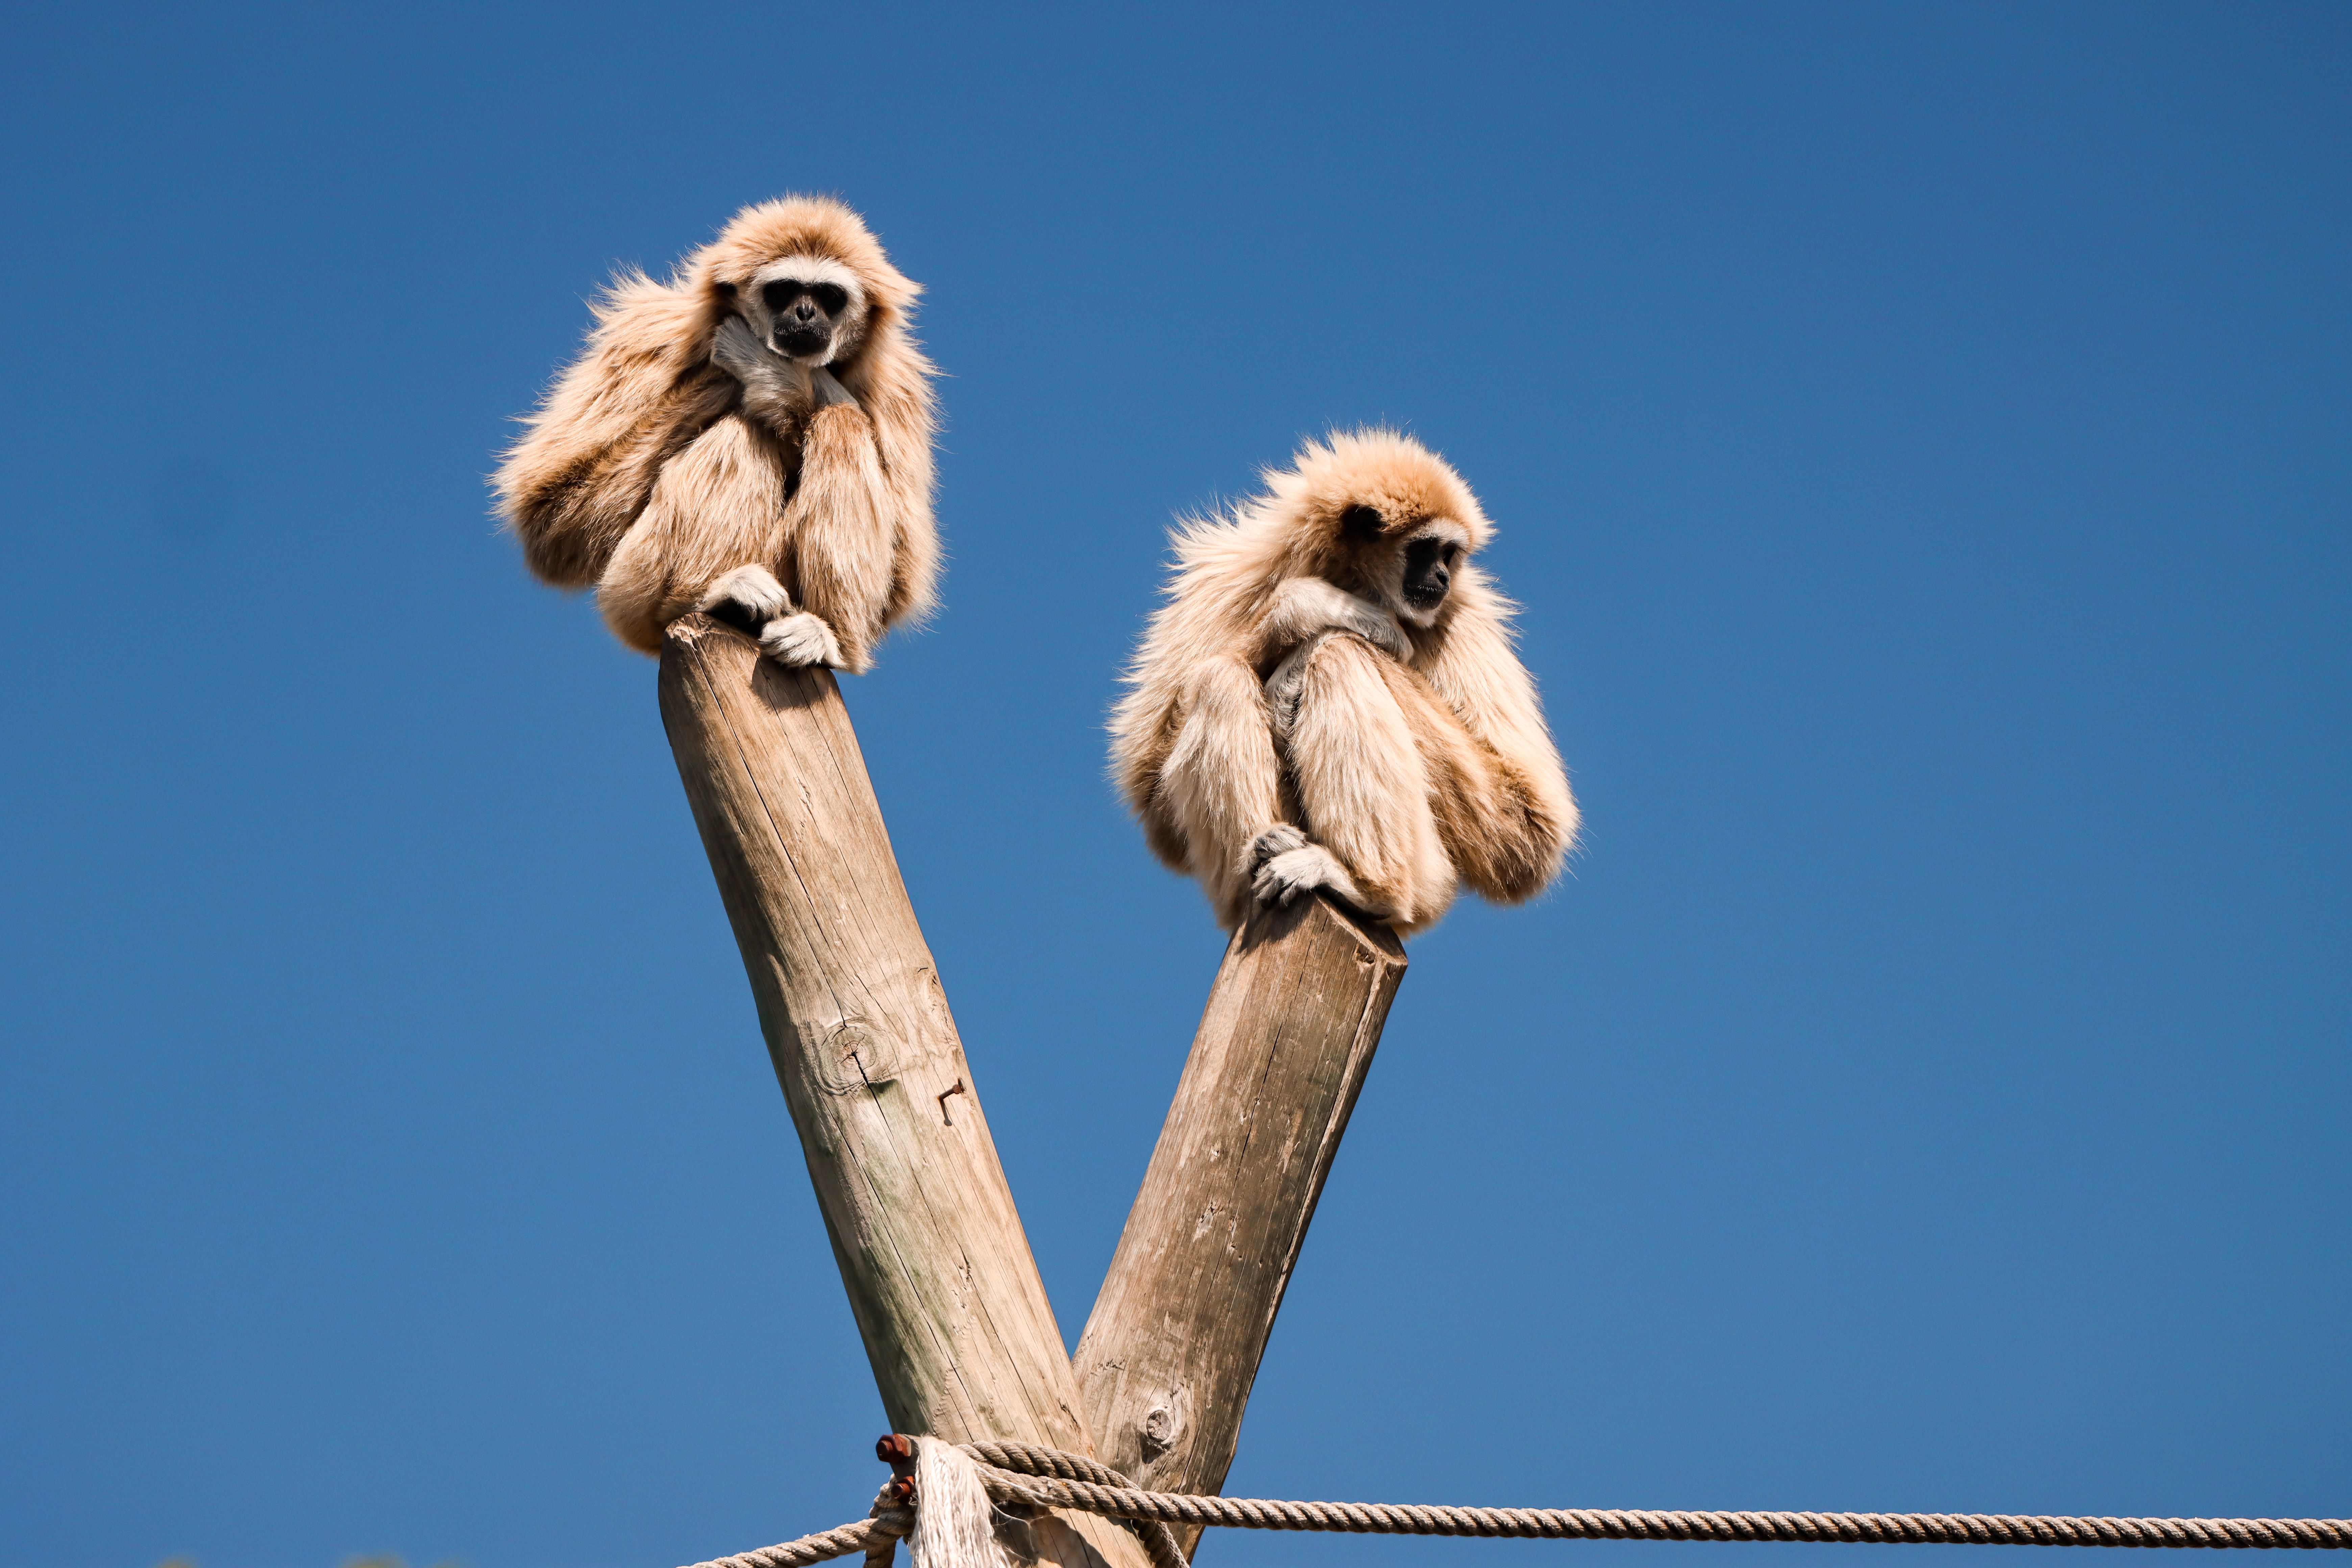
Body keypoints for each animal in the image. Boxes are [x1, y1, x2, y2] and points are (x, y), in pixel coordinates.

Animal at [493, 195, 937, 671]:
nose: (805, 312)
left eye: (830, 297)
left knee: (841, 424)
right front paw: (774, 377)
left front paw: (779, 378)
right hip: (628, 587)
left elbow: (903, 577)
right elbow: (554, 517)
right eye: (783, 291)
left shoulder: (898, 385)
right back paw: (705, 596)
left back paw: (829, 636)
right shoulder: (651, 332)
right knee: (745, 431)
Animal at [1110, 429, 1576, 937]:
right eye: (1426, 550)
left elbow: (1526, 830)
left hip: (1430, 876)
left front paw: (1300, 660)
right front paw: (1310, 606)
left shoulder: (1460, 611)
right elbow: (1152, 795)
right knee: (1219, 677)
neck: (1356, 580)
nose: (1441, 575)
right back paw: (1263, 849)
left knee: (1342, 654)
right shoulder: (1235, 573)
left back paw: (1370, 888)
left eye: (1448, 554)